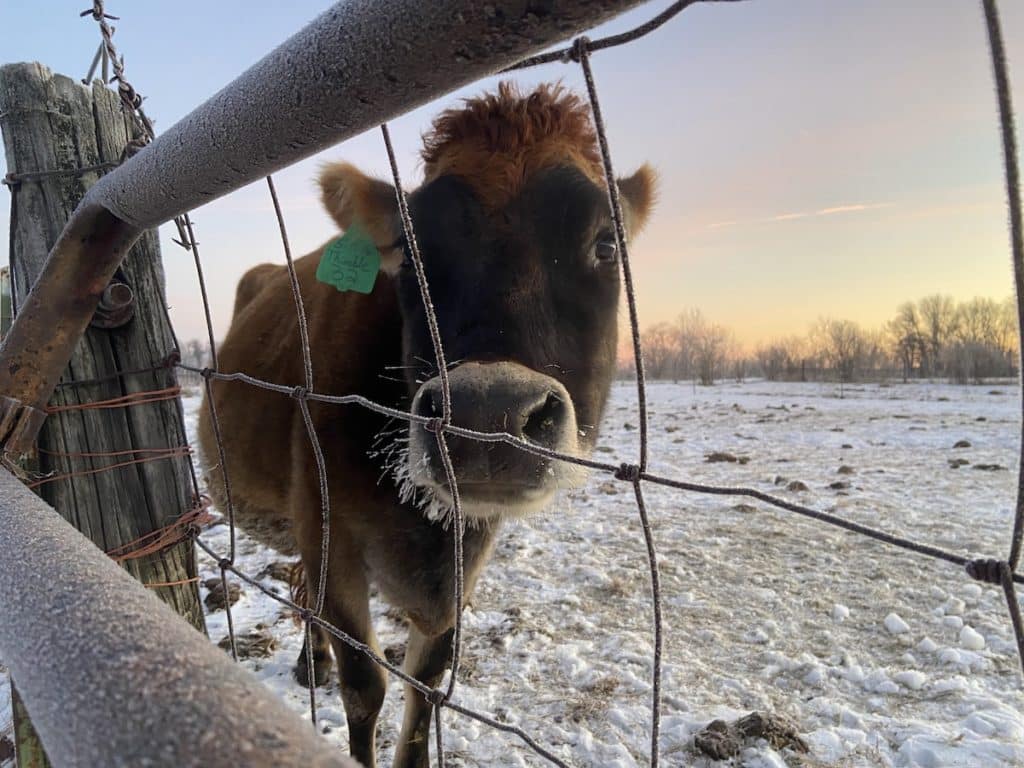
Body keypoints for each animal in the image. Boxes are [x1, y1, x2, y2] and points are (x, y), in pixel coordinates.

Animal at [198, 82, 655, 768]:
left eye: (606, 243)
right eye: (409, 251)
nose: (488, 414)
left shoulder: (464, 563)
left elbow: (426, 686)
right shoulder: (329, 528)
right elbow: (366, 683)